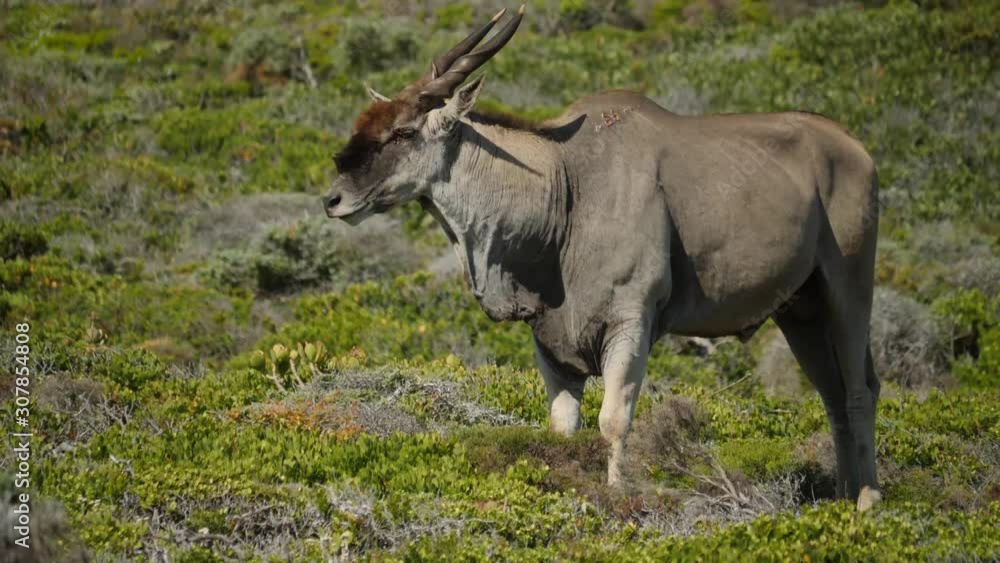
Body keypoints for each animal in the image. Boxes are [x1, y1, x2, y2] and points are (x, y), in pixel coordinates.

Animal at [324, 6, 882, 511]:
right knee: (833, 395)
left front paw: (615, 497)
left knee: (861, 388)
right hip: (799, 310)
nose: (333, 199)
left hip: (848, 288)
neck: (565, 185)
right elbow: (563, 426)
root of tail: (857, 149)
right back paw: (841, 497)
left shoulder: (631, 321)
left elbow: (613, 420)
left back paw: (868, 502)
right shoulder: (549, 339)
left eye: (403, 132)